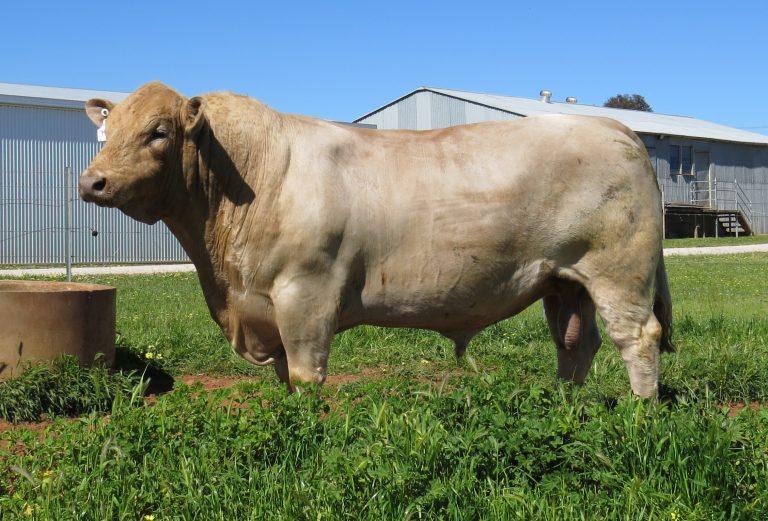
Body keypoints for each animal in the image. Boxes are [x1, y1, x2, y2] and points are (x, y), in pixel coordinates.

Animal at [79, 82, 673, 397]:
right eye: (107, 132)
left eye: (159, 131)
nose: (92, 181)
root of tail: (614, 128)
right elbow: (286, 378)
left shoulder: (306, 295)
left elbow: (306, 374)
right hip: (564, 280)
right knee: (575, 343)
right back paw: (564, 406)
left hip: (619, 271)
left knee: (637, 337)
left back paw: (640, 414)